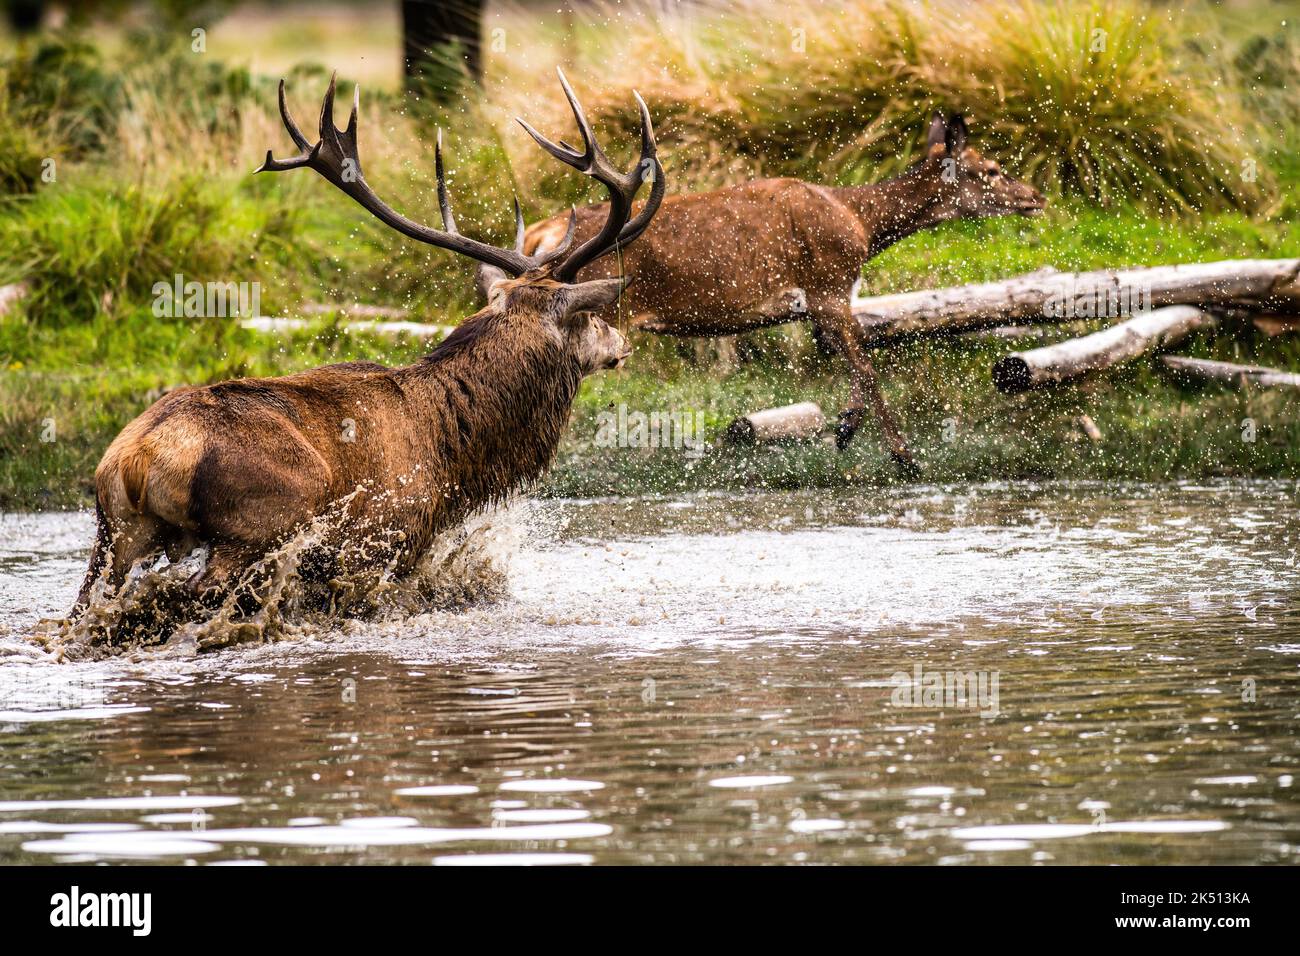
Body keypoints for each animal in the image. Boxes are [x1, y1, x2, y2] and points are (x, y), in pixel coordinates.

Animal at [73, 70, 664, 618]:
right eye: (589, 315)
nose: (621, 341)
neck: (455, 457)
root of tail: (138, 459)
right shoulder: (379, 541)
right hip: (264, 520)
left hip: (112, 539)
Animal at [483, 113, 1046, 474]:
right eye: (992, 169)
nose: (1036, 197)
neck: (861, 225)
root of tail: (538, 237)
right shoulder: (828, 283)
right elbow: (867, 366)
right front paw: (899, 455)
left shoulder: (824, 299)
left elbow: (854, 361)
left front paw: (847, 430)